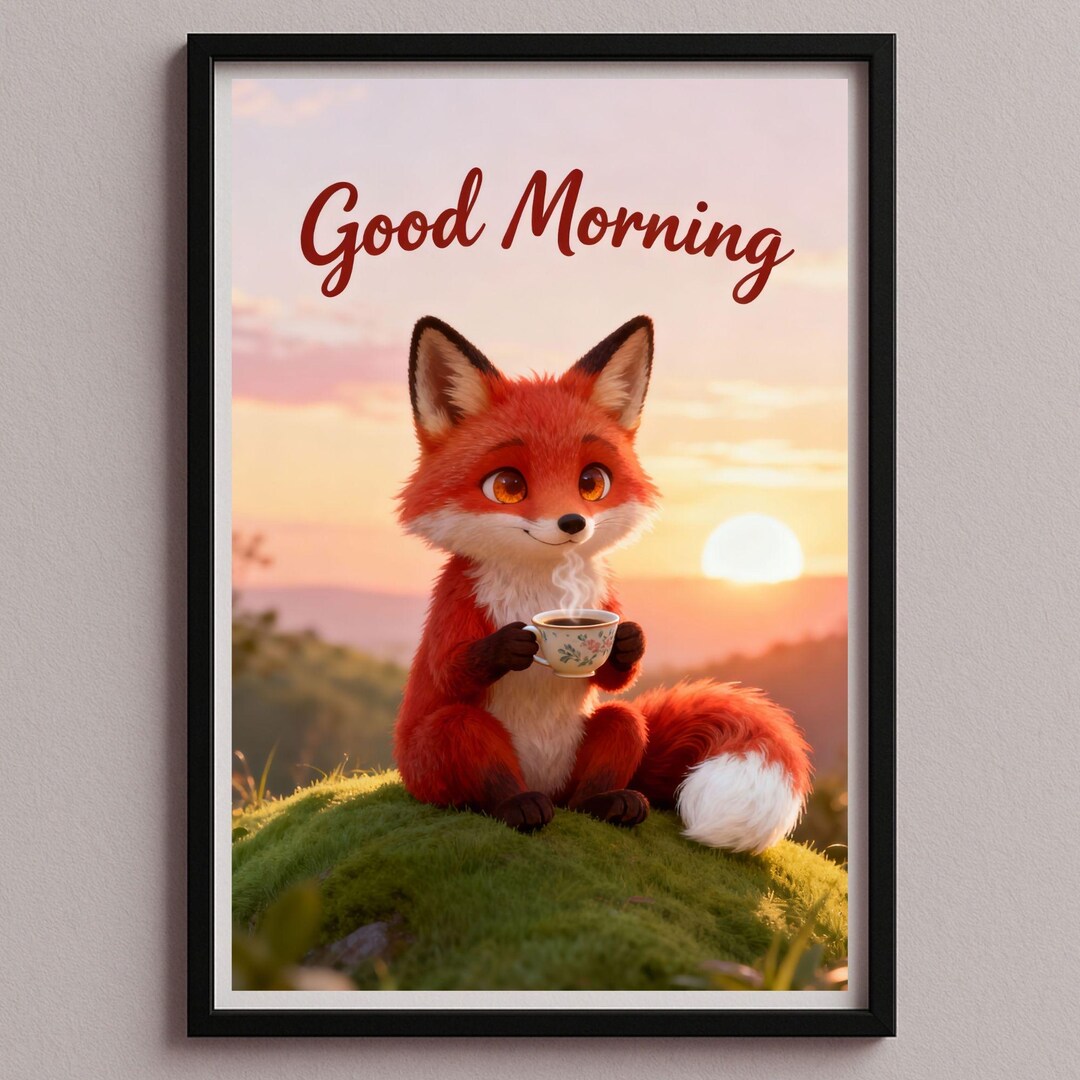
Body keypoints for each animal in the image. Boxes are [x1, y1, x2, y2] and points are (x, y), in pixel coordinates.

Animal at [393, 315, 812, 853]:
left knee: (608, 746)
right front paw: (509, 645)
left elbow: (615, 677)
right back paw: (518, 806)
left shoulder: (604, 604)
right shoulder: (455, 600)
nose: (573, 522)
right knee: (475, 759)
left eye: (592, 482)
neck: (544, 582)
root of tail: (544, 782)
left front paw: (629, 642)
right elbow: (448, 669)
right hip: (446, 743)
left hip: (613, 730)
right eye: (507, 486)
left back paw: (607, 802)